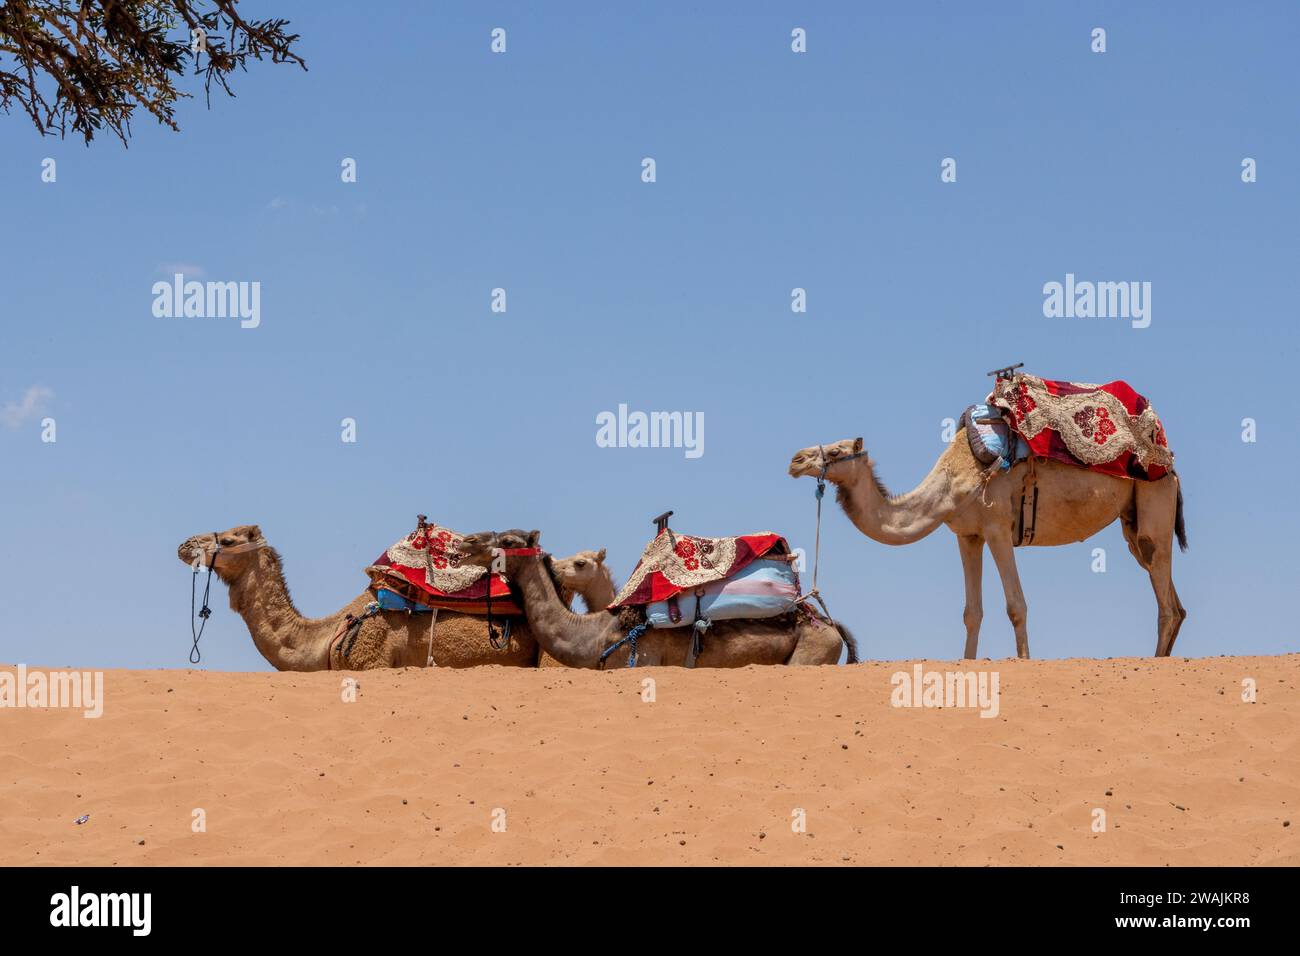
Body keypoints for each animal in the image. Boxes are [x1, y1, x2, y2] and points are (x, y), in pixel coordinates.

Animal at [456, 530, 858, 667]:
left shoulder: (640, 661)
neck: (595, 634)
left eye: (508, 541)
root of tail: (830, 624)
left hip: (811, 655)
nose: (467, 542)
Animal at [788, 436, 1187, 659]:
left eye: (836, 450)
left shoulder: (997, 529)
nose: (795, 459)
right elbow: (972, 612)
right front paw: (968, 661)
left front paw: (1024, 660)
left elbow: (1015, 605)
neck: (950, 485)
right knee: (1171, 595)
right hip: (1132, 523)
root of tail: (1170, 465)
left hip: (1154, 501)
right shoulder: (968, 536)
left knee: (1165, 596)